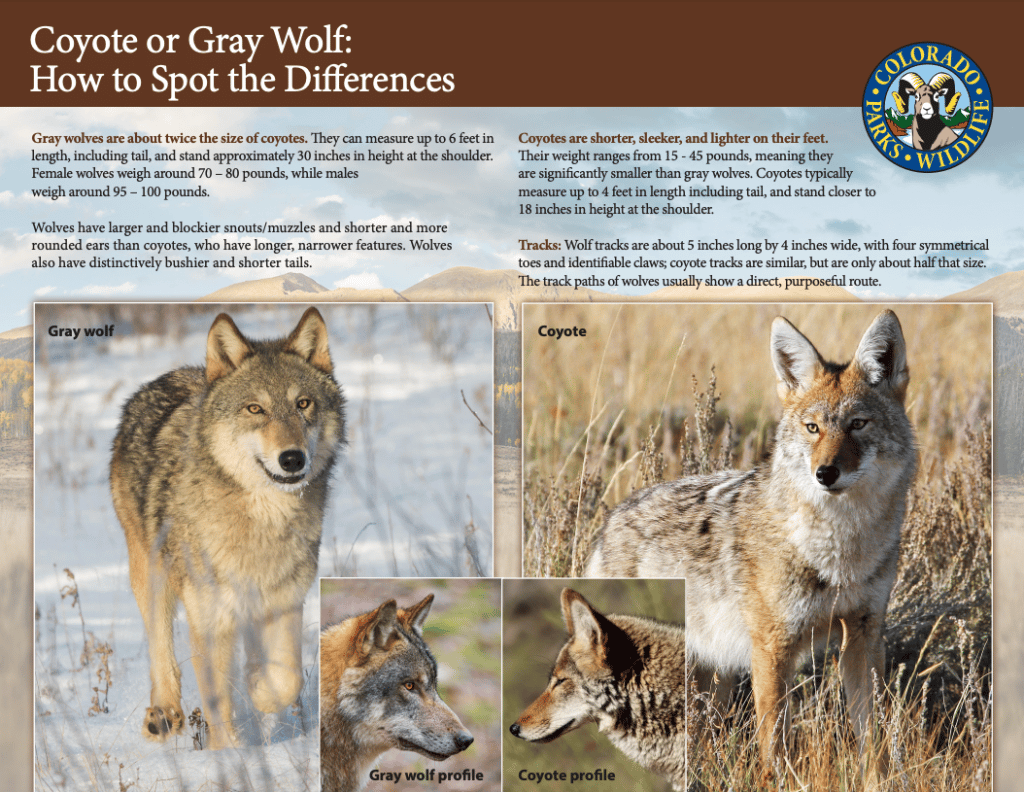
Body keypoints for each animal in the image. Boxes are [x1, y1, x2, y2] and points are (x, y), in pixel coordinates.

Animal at [110, 307, 345, 749]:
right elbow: (219, 700)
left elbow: (284, 679)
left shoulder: (286, 600)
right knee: (160, 648)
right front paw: (230, 754)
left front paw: (257, 689)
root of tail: (167, 376)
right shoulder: (210, 617)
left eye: (303, 404)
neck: (262, 524)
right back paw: (163, 715)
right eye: (255, 409)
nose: (292, 458)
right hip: (153, 575)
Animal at [586, 310, 916, 781]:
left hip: (714, 683)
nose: (825, 473)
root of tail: (610, 519)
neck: (840, 552)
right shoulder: (772, 647)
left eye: (857, 424)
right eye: (813, 428)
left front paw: (877, 781)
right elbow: (774, 744)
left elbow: (872, 736)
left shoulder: (864, 636)